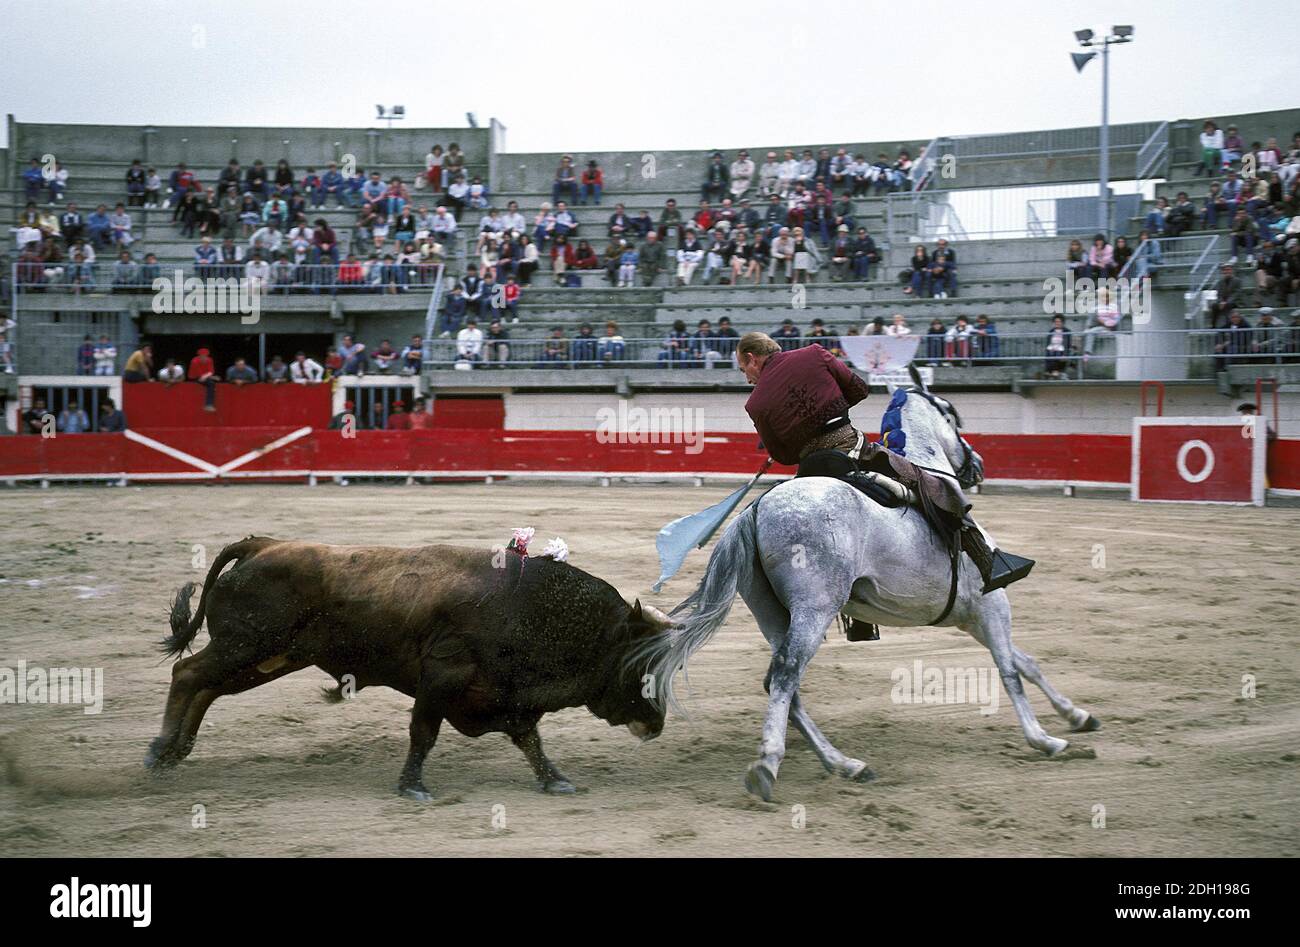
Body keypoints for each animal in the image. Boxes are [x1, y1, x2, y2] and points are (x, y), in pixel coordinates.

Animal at [637, 367, 1100, 801]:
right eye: (952, 413)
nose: (977, 464)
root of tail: (755, 510)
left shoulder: (970, 615)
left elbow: (1026, 662)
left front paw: (1077, 717)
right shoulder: (992, 604)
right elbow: (1009, 671)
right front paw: (1045, 740)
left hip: (772, 614)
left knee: (783, 682)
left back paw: (845, 764)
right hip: (815, 609)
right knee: (786, 674)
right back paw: (769, 765)